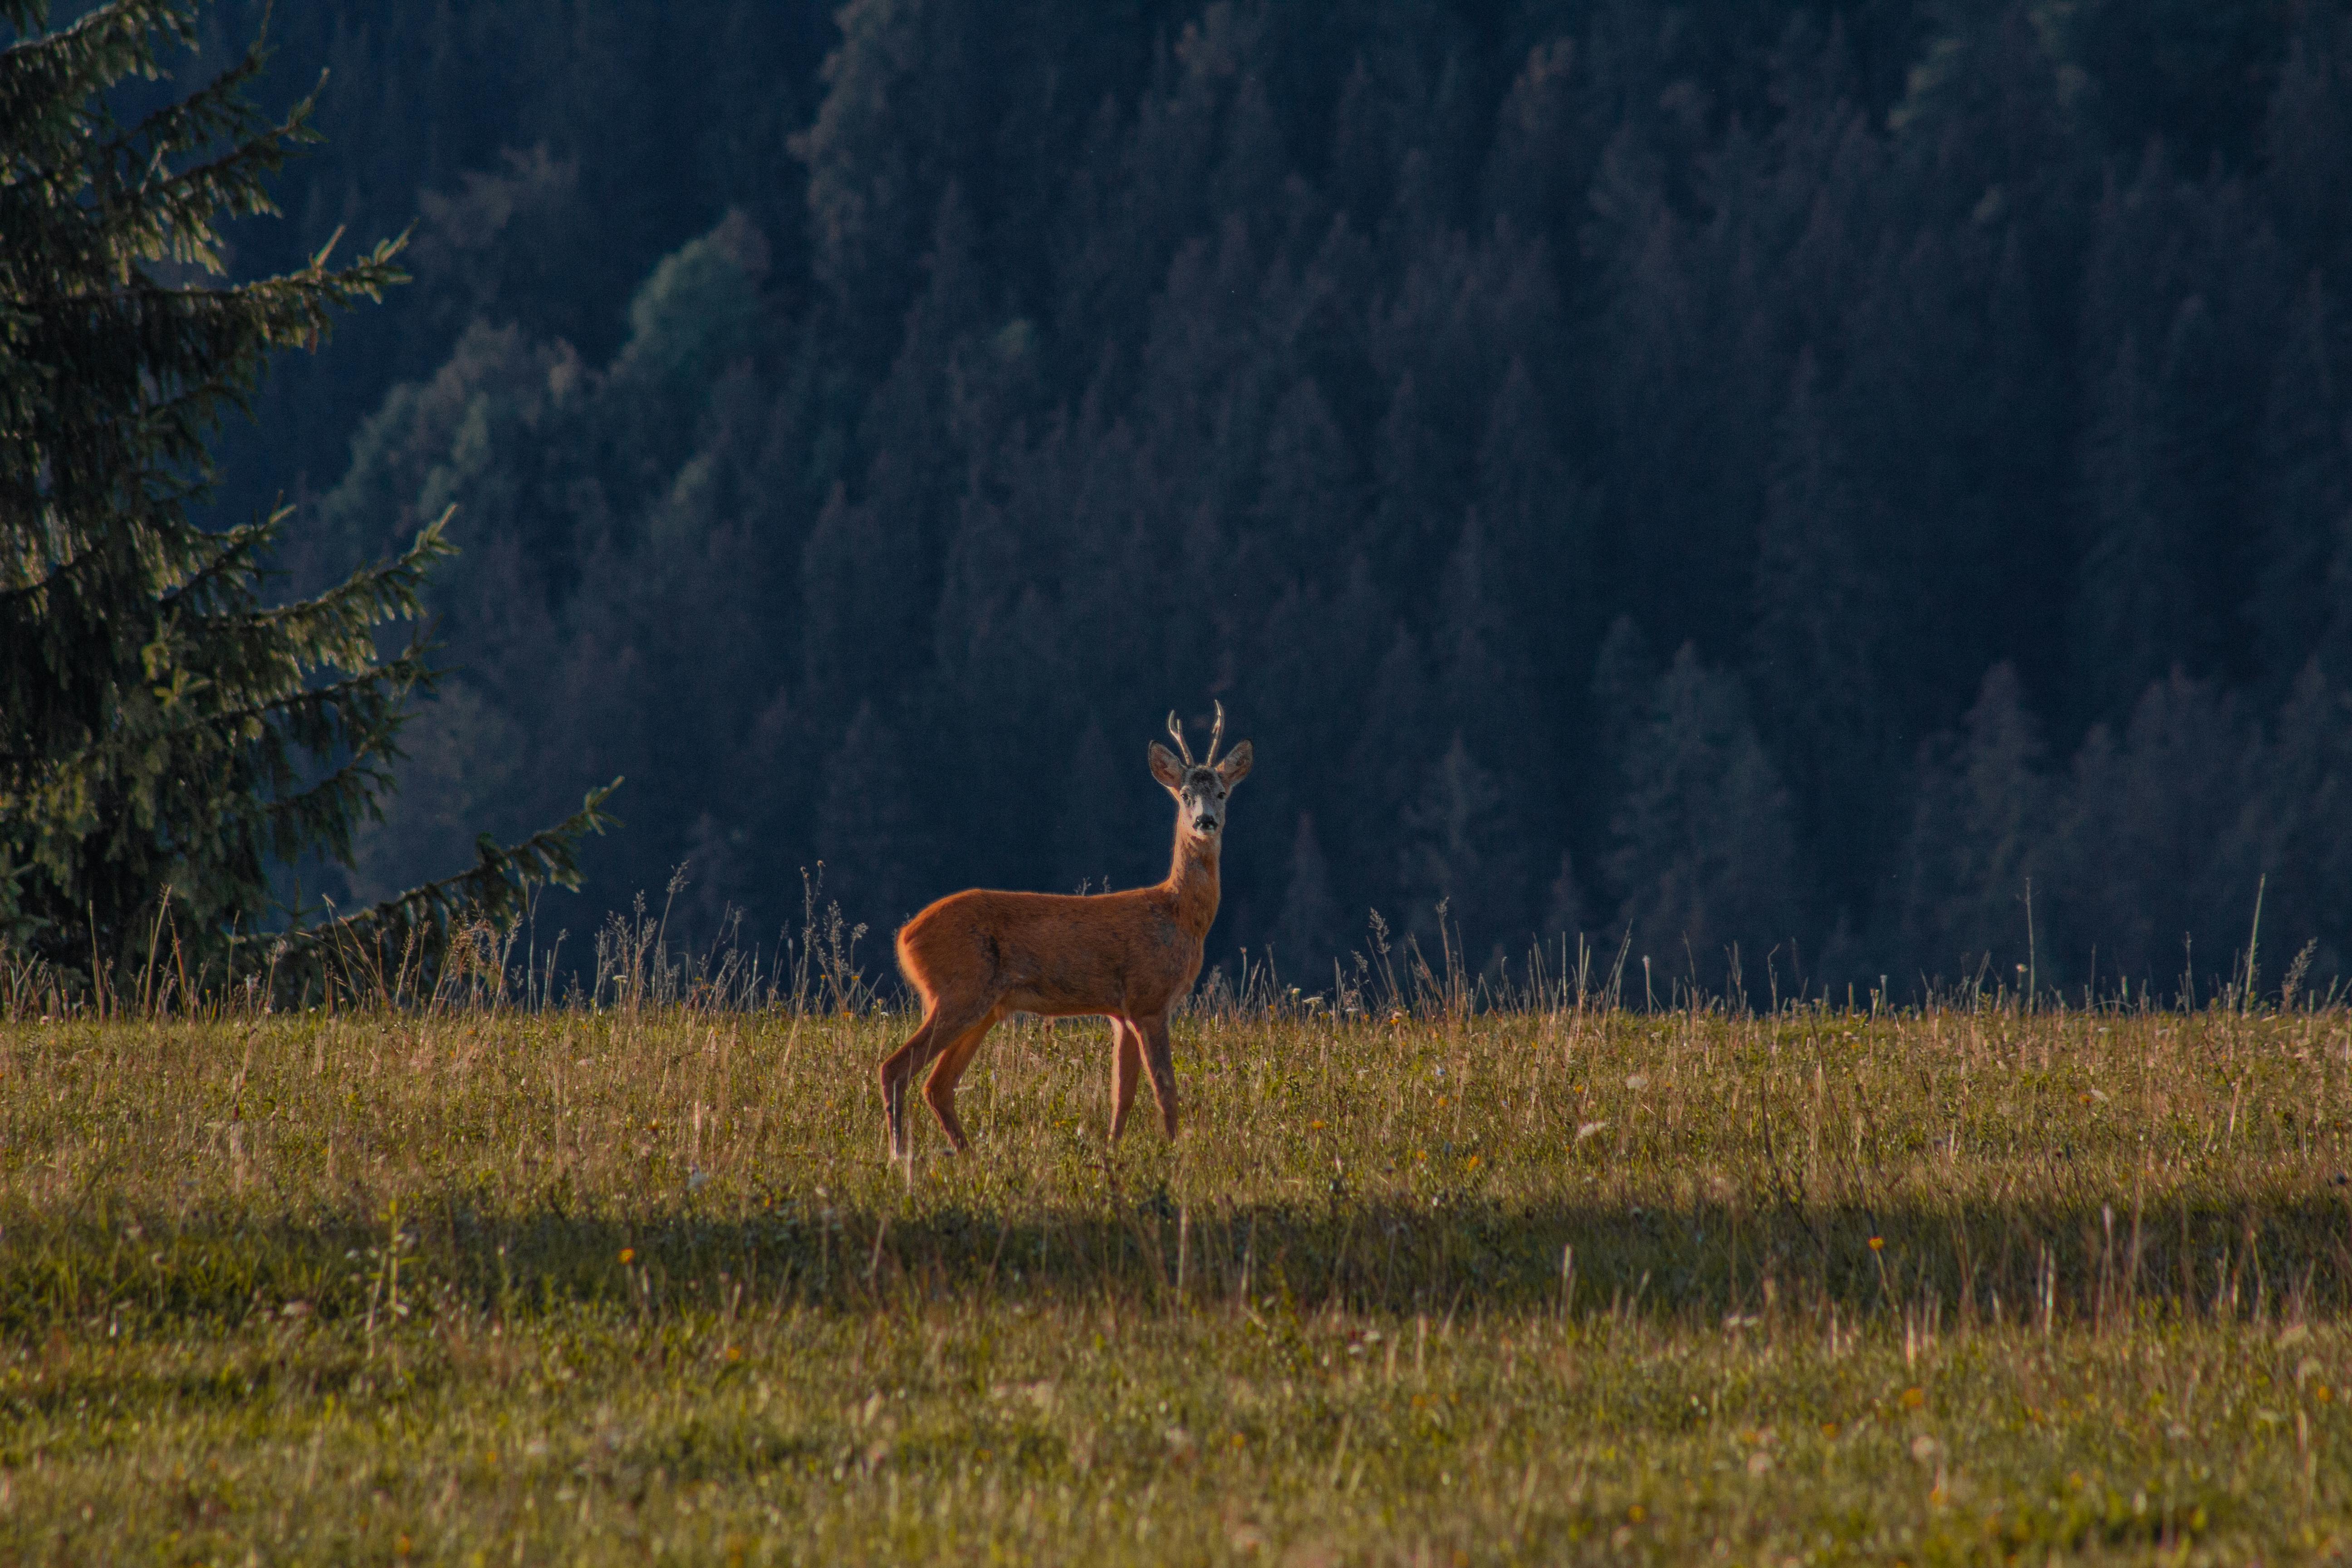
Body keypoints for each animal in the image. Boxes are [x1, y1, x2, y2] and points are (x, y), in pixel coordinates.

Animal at [878, 703, 1253, 1161]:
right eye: (1184, 795)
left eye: (1222, 793)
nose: (1205, 821)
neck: (1179, 915)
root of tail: (905, 936)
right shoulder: (1148, 1000)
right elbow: (1165, 1089)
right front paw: (1172, 1153)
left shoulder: (1121, 1013)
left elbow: (1122, 1094)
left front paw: (1112, 1152)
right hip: (958, 991)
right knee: (896, 1068)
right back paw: (900, 1154)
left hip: (984, 1007)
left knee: (938, 1085)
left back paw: (967, 1154)